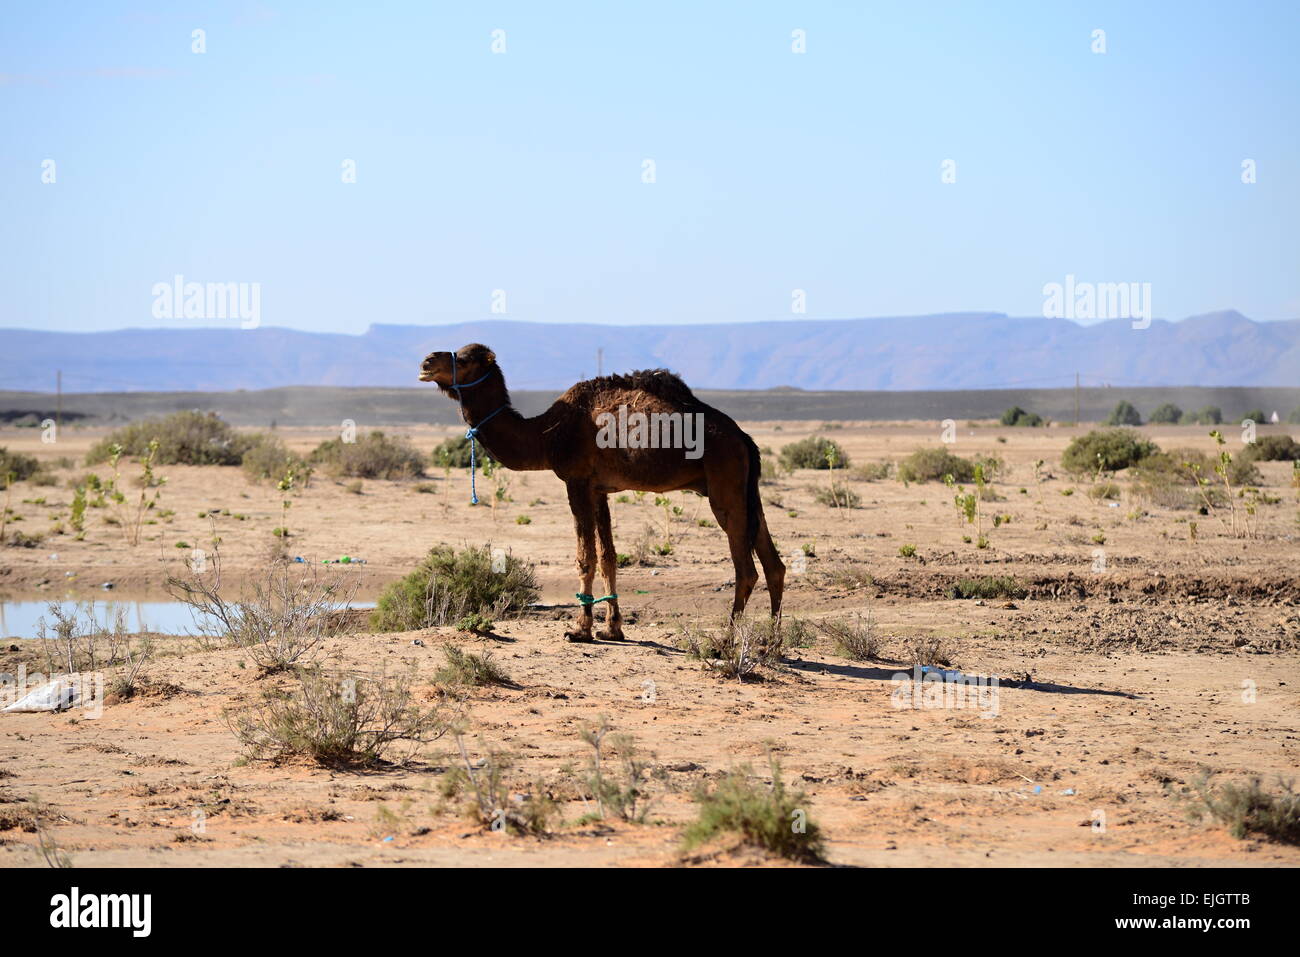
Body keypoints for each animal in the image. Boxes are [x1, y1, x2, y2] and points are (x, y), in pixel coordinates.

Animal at [420, 343, 784, 642]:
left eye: (464, 359)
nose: (426, 362)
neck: (546, 434)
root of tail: (744, 438)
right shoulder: (600, 489)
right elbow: (609, 556)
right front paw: (612, 628)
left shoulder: (576, 481)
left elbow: (586, 557)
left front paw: (580, 630)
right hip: (747, 490)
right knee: (773, 564)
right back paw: (771, 641)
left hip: (725, 486)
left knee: (746, 568)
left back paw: (727, 640)